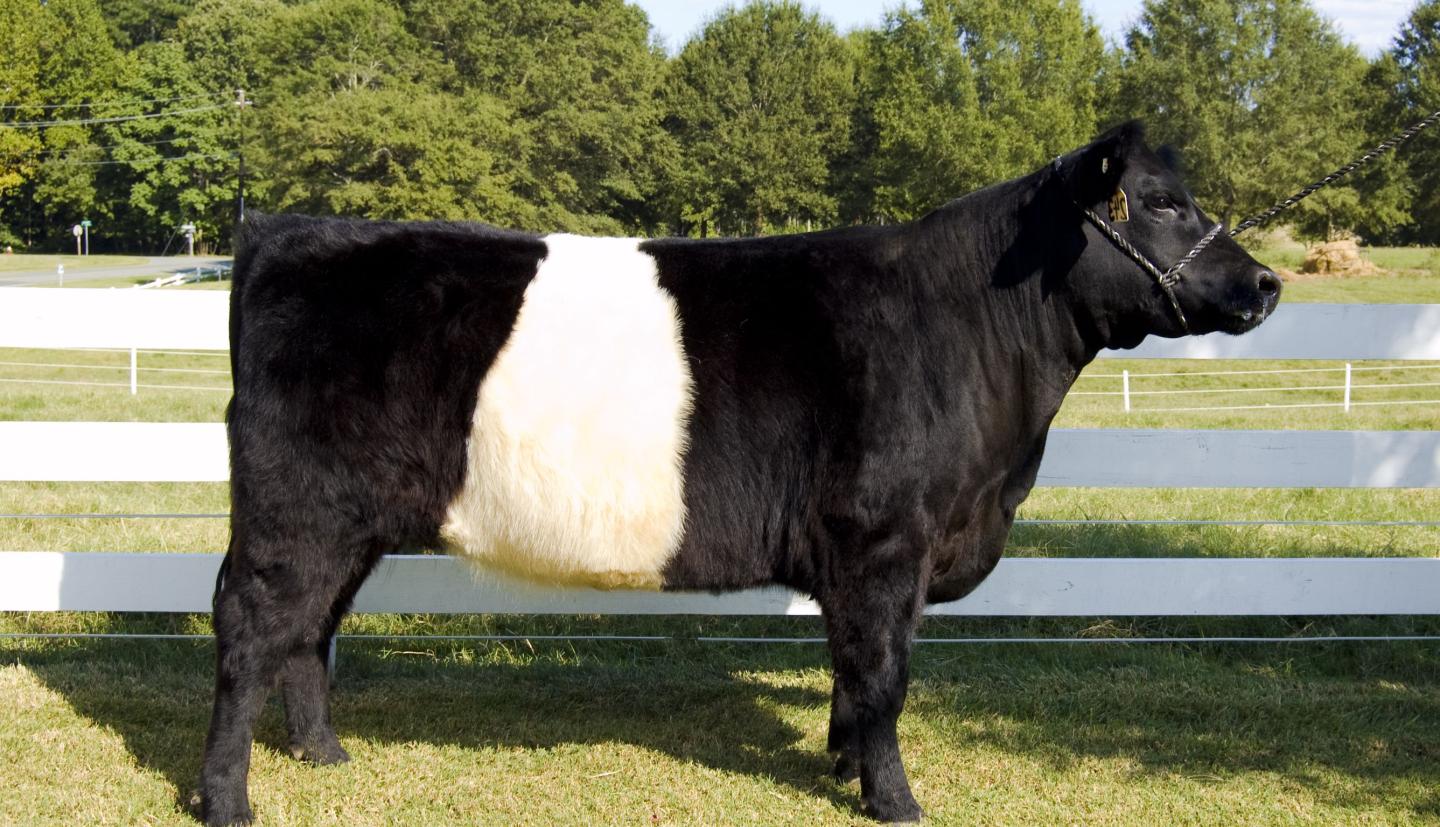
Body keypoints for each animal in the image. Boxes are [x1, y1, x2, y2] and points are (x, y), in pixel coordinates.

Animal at [200, 122, 1280, 825]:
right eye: (1166, 204)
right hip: (294, 511)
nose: (1266, 283)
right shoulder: (883, 535)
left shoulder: (883, 553)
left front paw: (844, 764)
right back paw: (225, 798)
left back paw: (325, 755)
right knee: (252, 630)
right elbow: (885, 672)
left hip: (348, 522)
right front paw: (896, 801)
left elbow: (855, 666)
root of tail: (283, 230)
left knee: (308, 632)